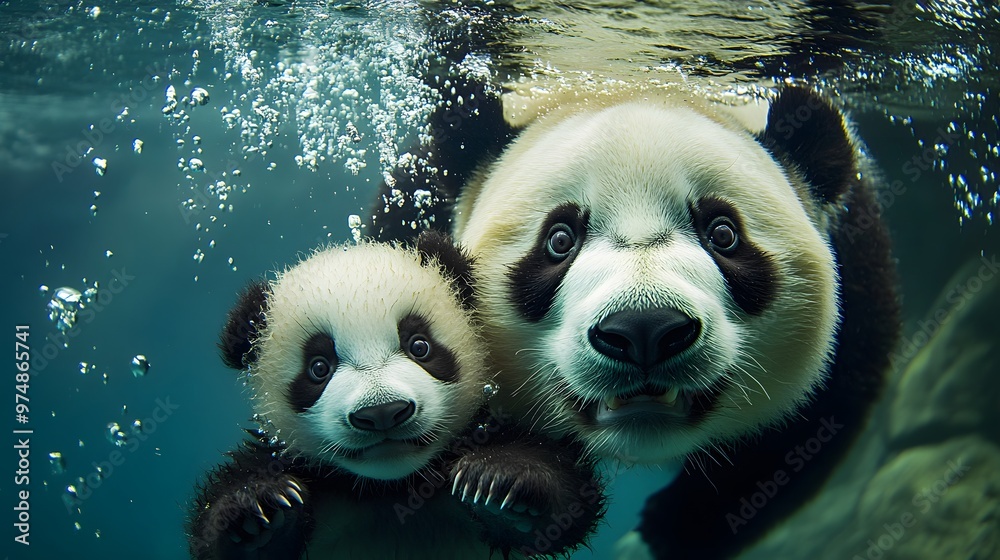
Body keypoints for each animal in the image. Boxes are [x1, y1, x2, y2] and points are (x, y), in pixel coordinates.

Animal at [187, 232, 605, 560]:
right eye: (318, 368)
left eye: (419, 345)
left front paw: (502, 481)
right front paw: (256, 508)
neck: (392, 490)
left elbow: (566, 506)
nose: (383, 412)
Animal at [371, 72, 900, 557]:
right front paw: (513, 486)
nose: (645, 329)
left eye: (723, 233)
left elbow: (811, 424)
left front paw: (662, 530)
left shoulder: (855, 260)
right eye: (559, 239)